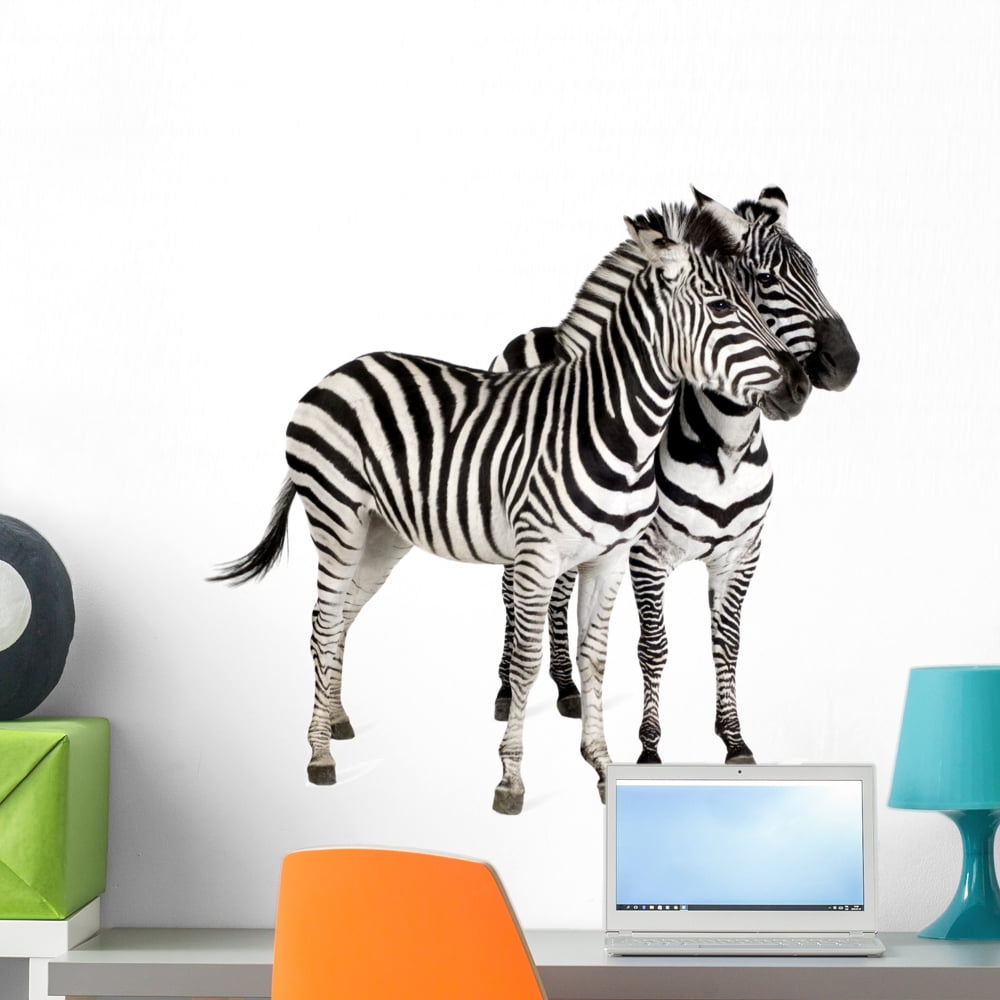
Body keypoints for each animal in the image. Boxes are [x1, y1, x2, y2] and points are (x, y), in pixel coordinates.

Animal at [210, 202, 811, 815]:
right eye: (722, 307)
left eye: (753, 298)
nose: (801, 385)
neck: (614, 429)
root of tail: (339, 370)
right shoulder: (540, 556)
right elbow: (526, 662)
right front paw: (511, 780)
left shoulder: (610, 559)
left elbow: (595, 658)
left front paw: (601, 768)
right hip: (336, 517)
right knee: (324, 621)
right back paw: (319, 754)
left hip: (382, 533)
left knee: (340, 617)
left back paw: (335, 721)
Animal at [491, 187, 858, 766]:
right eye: (763, 281)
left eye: (815, 271)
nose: (845, 364)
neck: (729, 446)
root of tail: (545, 333)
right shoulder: (646, 554)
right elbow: (654, 647)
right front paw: (649, 747)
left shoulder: (741, 553)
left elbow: (726, 644)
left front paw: (734, 739)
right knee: (511, 594)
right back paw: (507, 689)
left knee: (556, 591)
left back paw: (567, 688)